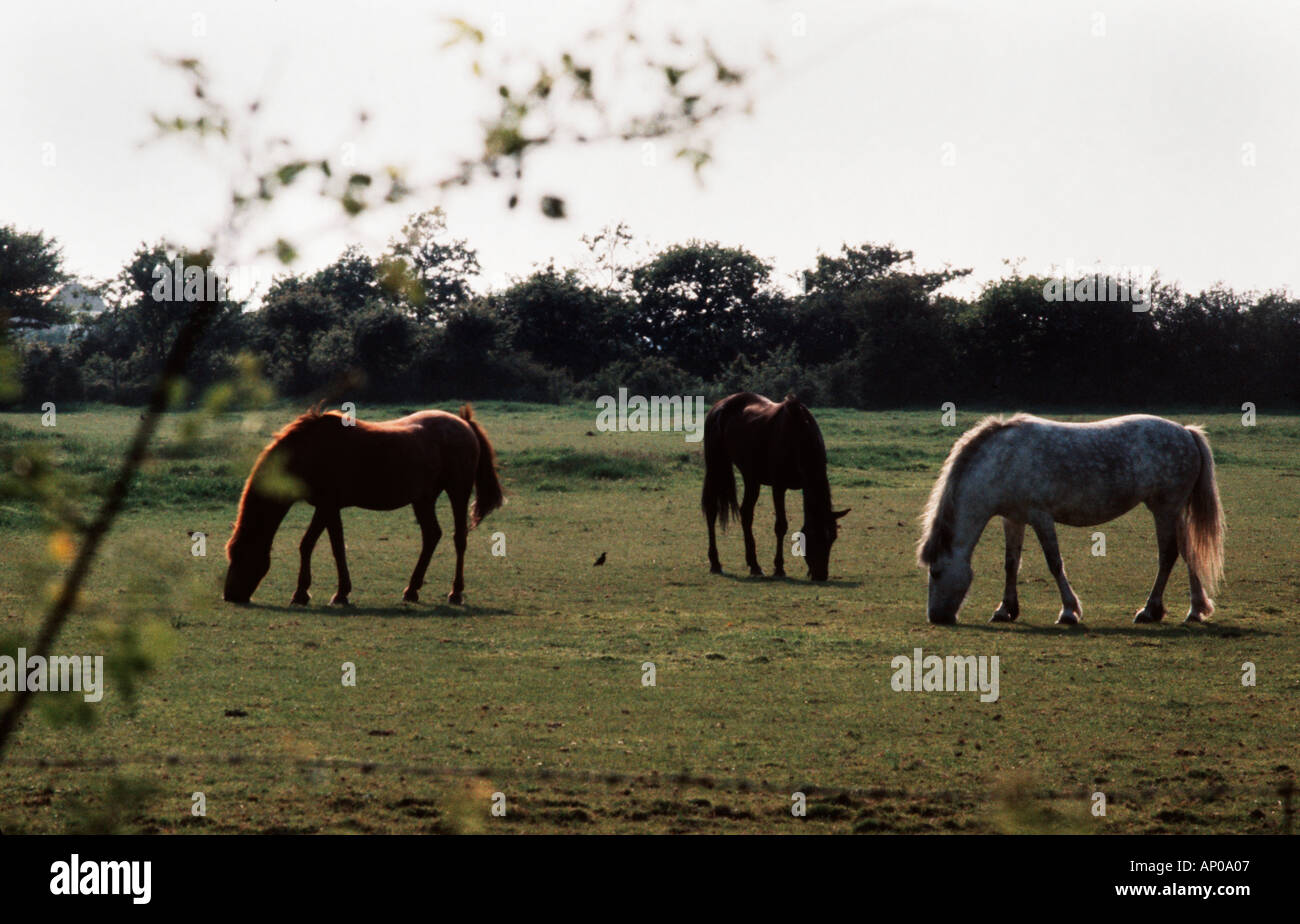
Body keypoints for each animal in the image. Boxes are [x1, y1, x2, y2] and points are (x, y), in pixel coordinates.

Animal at [223, 405, 504, 606]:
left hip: (458, 492)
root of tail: (463, 423)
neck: (309, 450)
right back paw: (411, 590)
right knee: (432, 535)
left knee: (459, 539)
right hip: (423, 499)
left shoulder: (327, 506)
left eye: (240, 555)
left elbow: (318, 545)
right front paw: (326, 592)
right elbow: (325, 545)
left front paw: (314, 593)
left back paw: (455, 592)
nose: (229, 595)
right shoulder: (327, 508)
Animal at [701, 392, 849, 581]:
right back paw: (715, 563)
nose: (821, 575)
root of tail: (718, 407)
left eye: (833, 538)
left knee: (746, 513)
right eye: (813, 535)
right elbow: (781, 526)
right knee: (712, 511)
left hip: (751, 478)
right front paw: (779, 568)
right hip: (716, 468)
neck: (799, 437)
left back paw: (754, 565)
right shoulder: (778, 487)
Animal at [917, 413, 1224, 625]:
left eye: (936, 572)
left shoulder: (1040, 517)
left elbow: (1054, 562)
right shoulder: (1013, 519)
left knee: (1168, 555)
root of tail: (1186, 432)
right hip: (1174, 512)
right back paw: (1195, 610)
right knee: (1189, 552)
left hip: (1164, 509)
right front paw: (1005, 610)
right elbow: (1011, 564)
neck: (1003, 461)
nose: (936, 617)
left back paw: (1150, 611)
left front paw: (1068, 612)